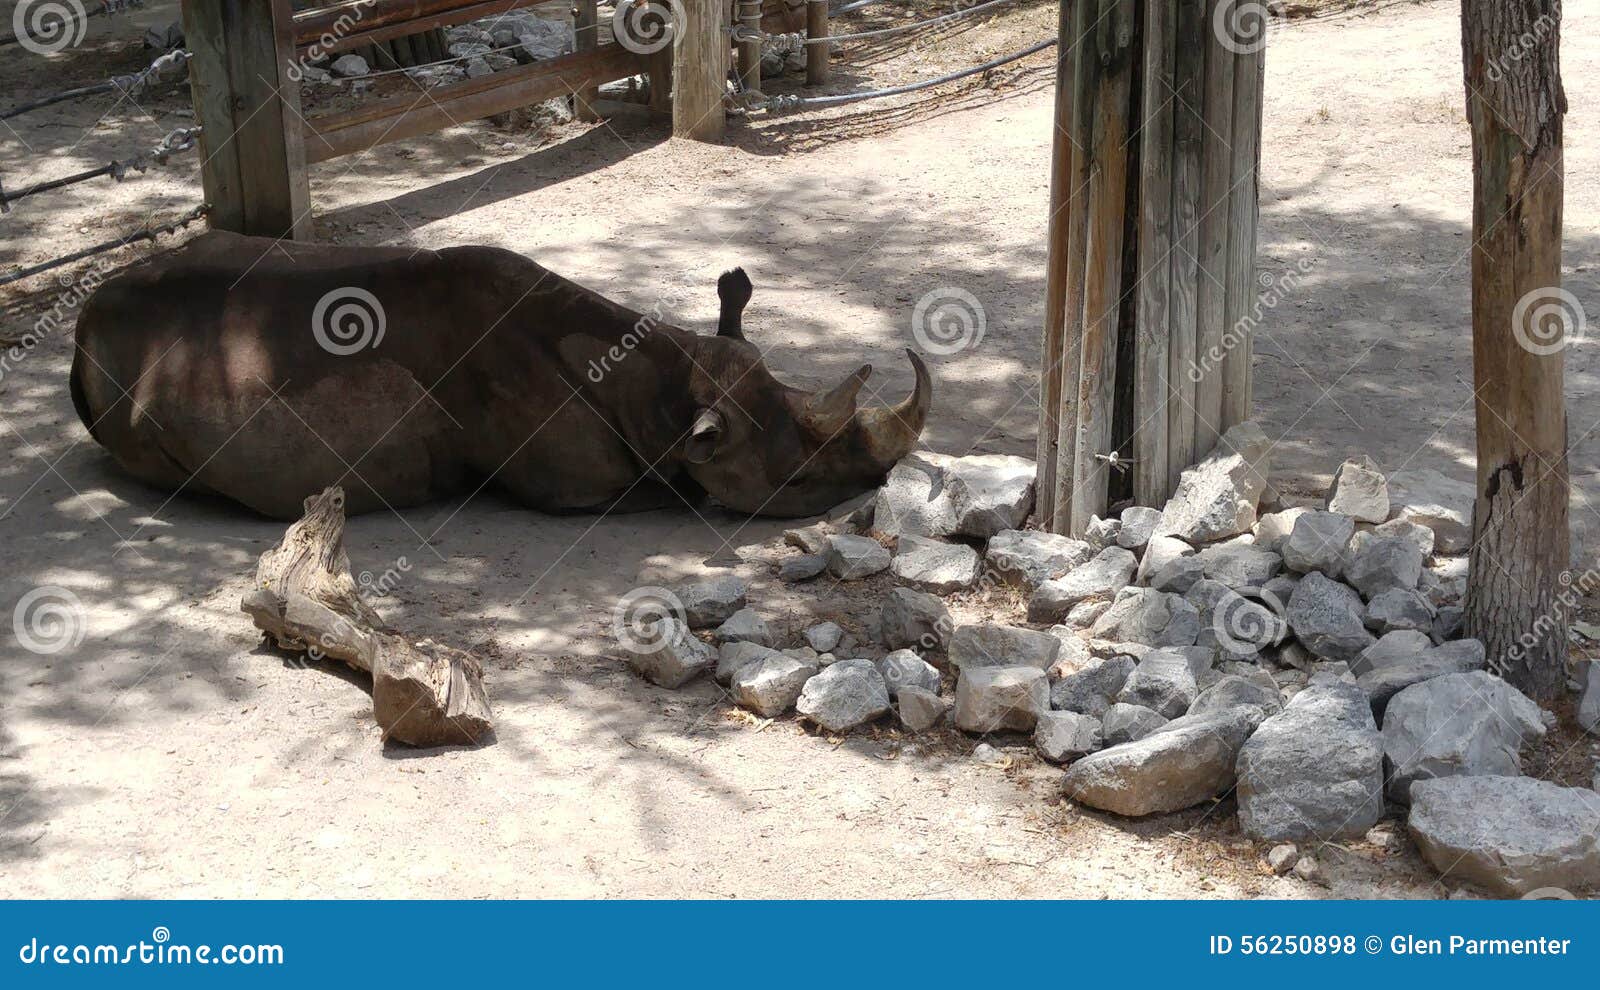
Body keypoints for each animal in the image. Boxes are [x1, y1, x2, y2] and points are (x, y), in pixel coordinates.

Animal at [69, 231, 930, 521]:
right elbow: (668, 490)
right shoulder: (580, 487)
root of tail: (79, 322)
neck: (665, 391)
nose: (870, 485)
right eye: (795, 484)